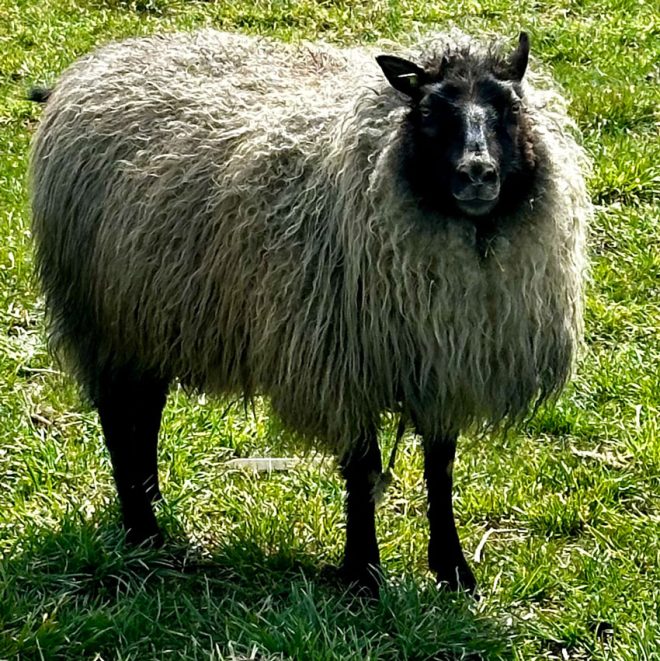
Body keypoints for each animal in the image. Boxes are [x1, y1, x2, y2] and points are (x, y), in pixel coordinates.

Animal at [29, 28, 590, 595]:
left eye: (510, 109)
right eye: (430, 111)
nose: (477, 173)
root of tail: (96, 63)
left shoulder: (440, 364)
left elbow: (441, 468)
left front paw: (453, 569)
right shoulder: (342, 367)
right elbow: (363, 470)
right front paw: (363, 573)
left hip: (148, 317)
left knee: (145, 413)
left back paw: (153, 501)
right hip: (103, 318)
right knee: (119, 418)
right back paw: (143, 530)